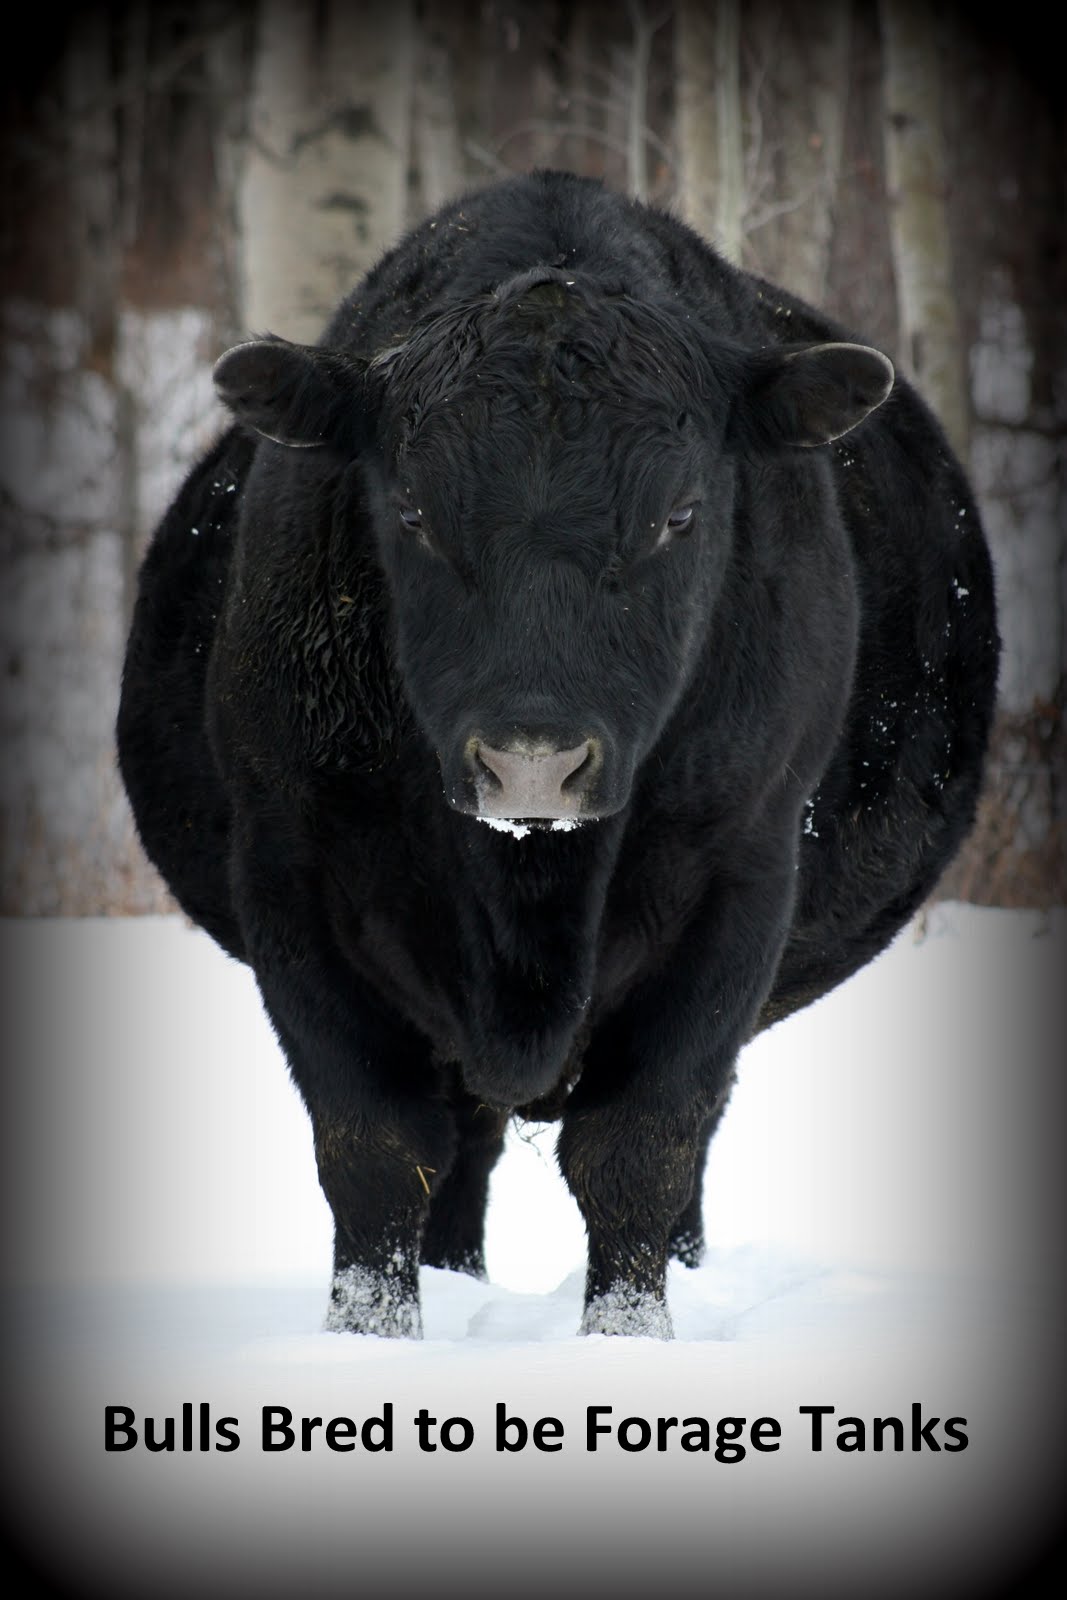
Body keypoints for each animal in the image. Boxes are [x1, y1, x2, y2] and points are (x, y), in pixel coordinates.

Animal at [117, 170, 998, 1339]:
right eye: (412, 512)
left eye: (678, 517)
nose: (531, 761)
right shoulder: (291, 870)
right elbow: (372, 1147)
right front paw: (370, 1343)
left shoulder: (740, 871)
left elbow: (640, 1144)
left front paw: (630, 1342)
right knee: (460, 1153)